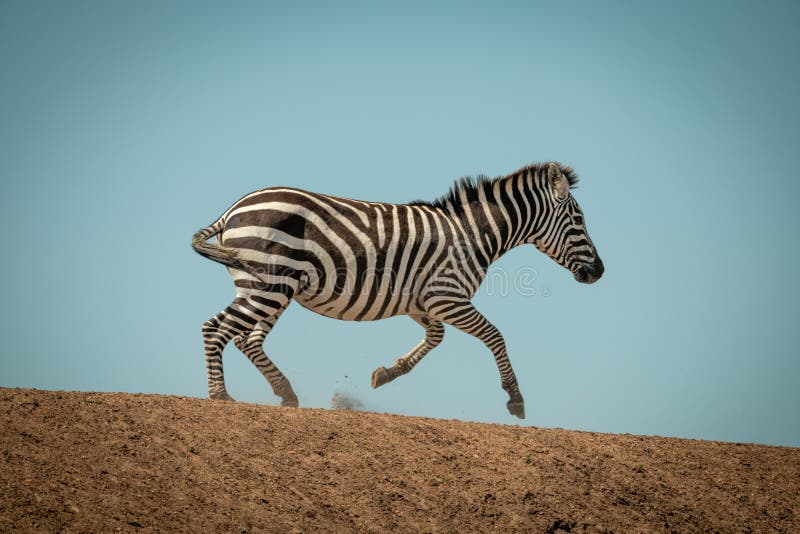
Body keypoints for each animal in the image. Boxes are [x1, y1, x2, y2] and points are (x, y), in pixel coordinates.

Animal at [192, 161, 603, 418]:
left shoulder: (424, 302)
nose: (600, 272)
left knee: (247, 338)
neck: (473, 234)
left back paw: (286, 393)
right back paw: (220, 396)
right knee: (216, 329)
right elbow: (495, 336)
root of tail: (232, 210)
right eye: (579, 220)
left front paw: (387, 373)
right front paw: (515, 398)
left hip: (270, 287)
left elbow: (436, 338)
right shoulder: (447, 296)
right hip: (270, 284)